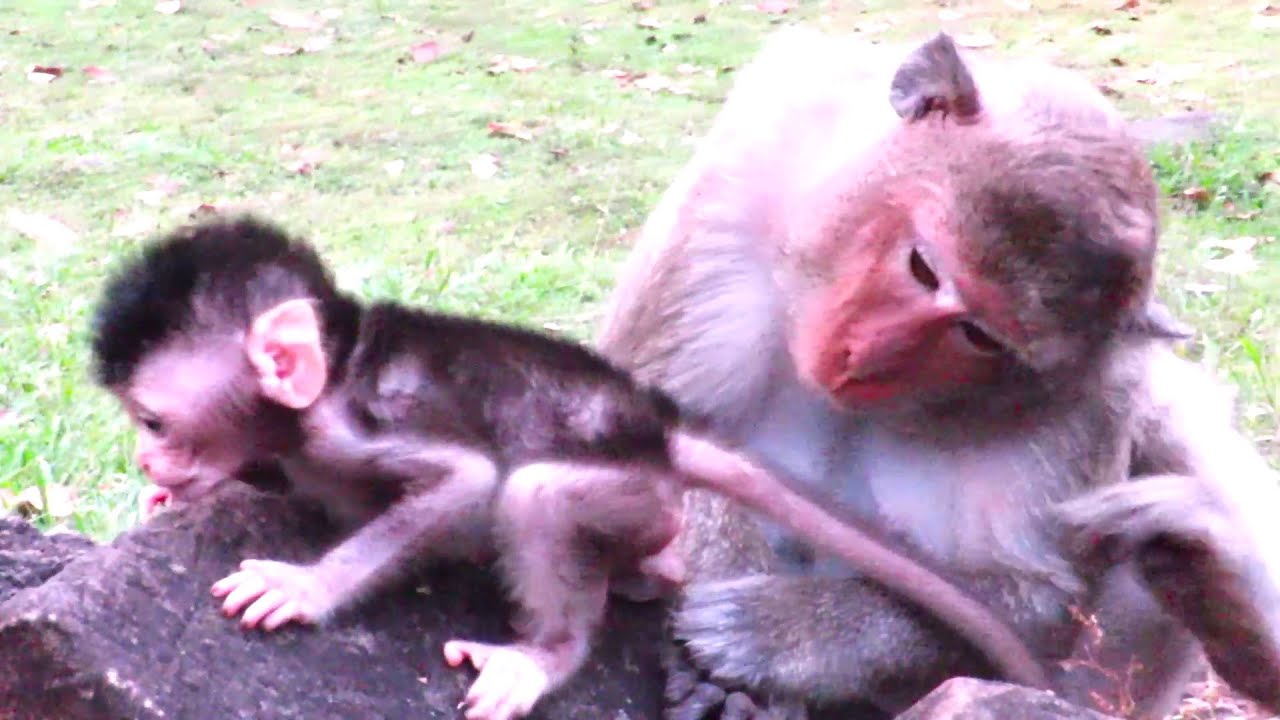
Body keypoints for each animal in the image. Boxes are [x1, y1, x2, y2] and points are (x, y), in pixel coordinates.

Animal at [89, 215, 1045, 720]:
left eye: (155, 419)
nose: (146, 454)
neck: (335, 366)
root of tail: (654, 433)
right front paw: (171, 497)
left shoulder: (351, 425)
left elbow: (466, 483)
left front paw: (301, 586)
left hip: (623, 489)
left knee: (539, 495)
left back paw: (545, 655)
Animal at [595, 29, 1280, 720]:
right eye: (923, 268)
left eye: (981, 336)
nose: (867, 357)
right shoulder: (733, 189)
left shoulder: (1098, 380)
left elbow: (1032, 599)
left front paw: (781, 634)